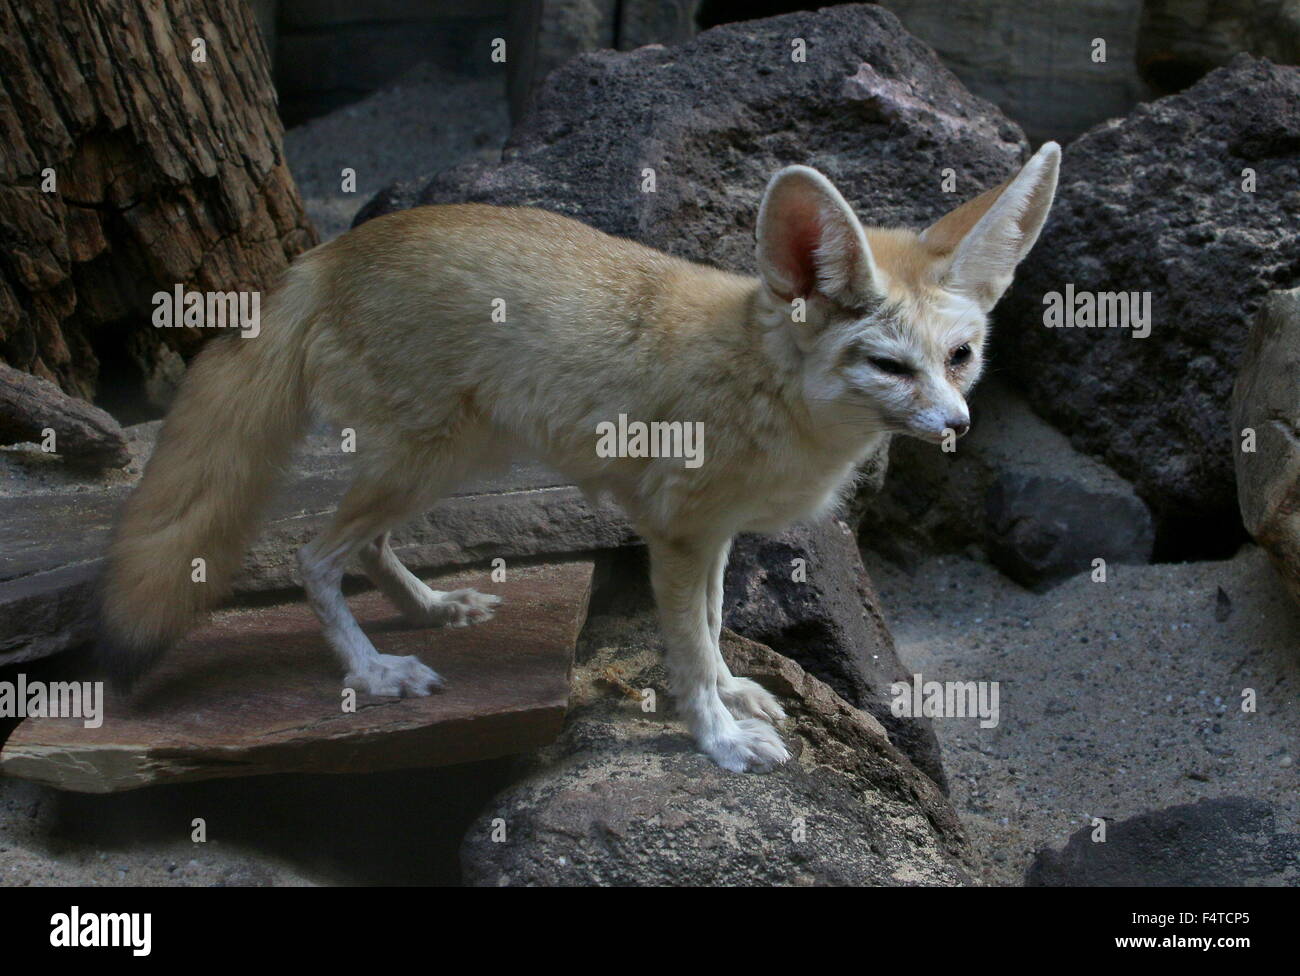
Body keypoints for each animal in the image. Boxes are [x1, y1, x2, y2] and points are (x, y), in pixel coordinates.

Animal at [99, 142, 1060, 773]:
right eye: (890, 366)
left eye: (961, 356)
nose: (956, 422)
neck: (762, 380)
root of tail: (325, 255)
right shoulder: (677, 536)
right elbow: (687, 648)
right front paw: (715, 738)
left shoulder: (713, 539)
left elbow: (714, 628)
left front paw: (732, 693)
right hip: (422, 463)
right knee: (313, 556)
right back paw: (372, 671)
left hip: (446, 462)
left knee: (365, 547)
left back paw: (432, 609)